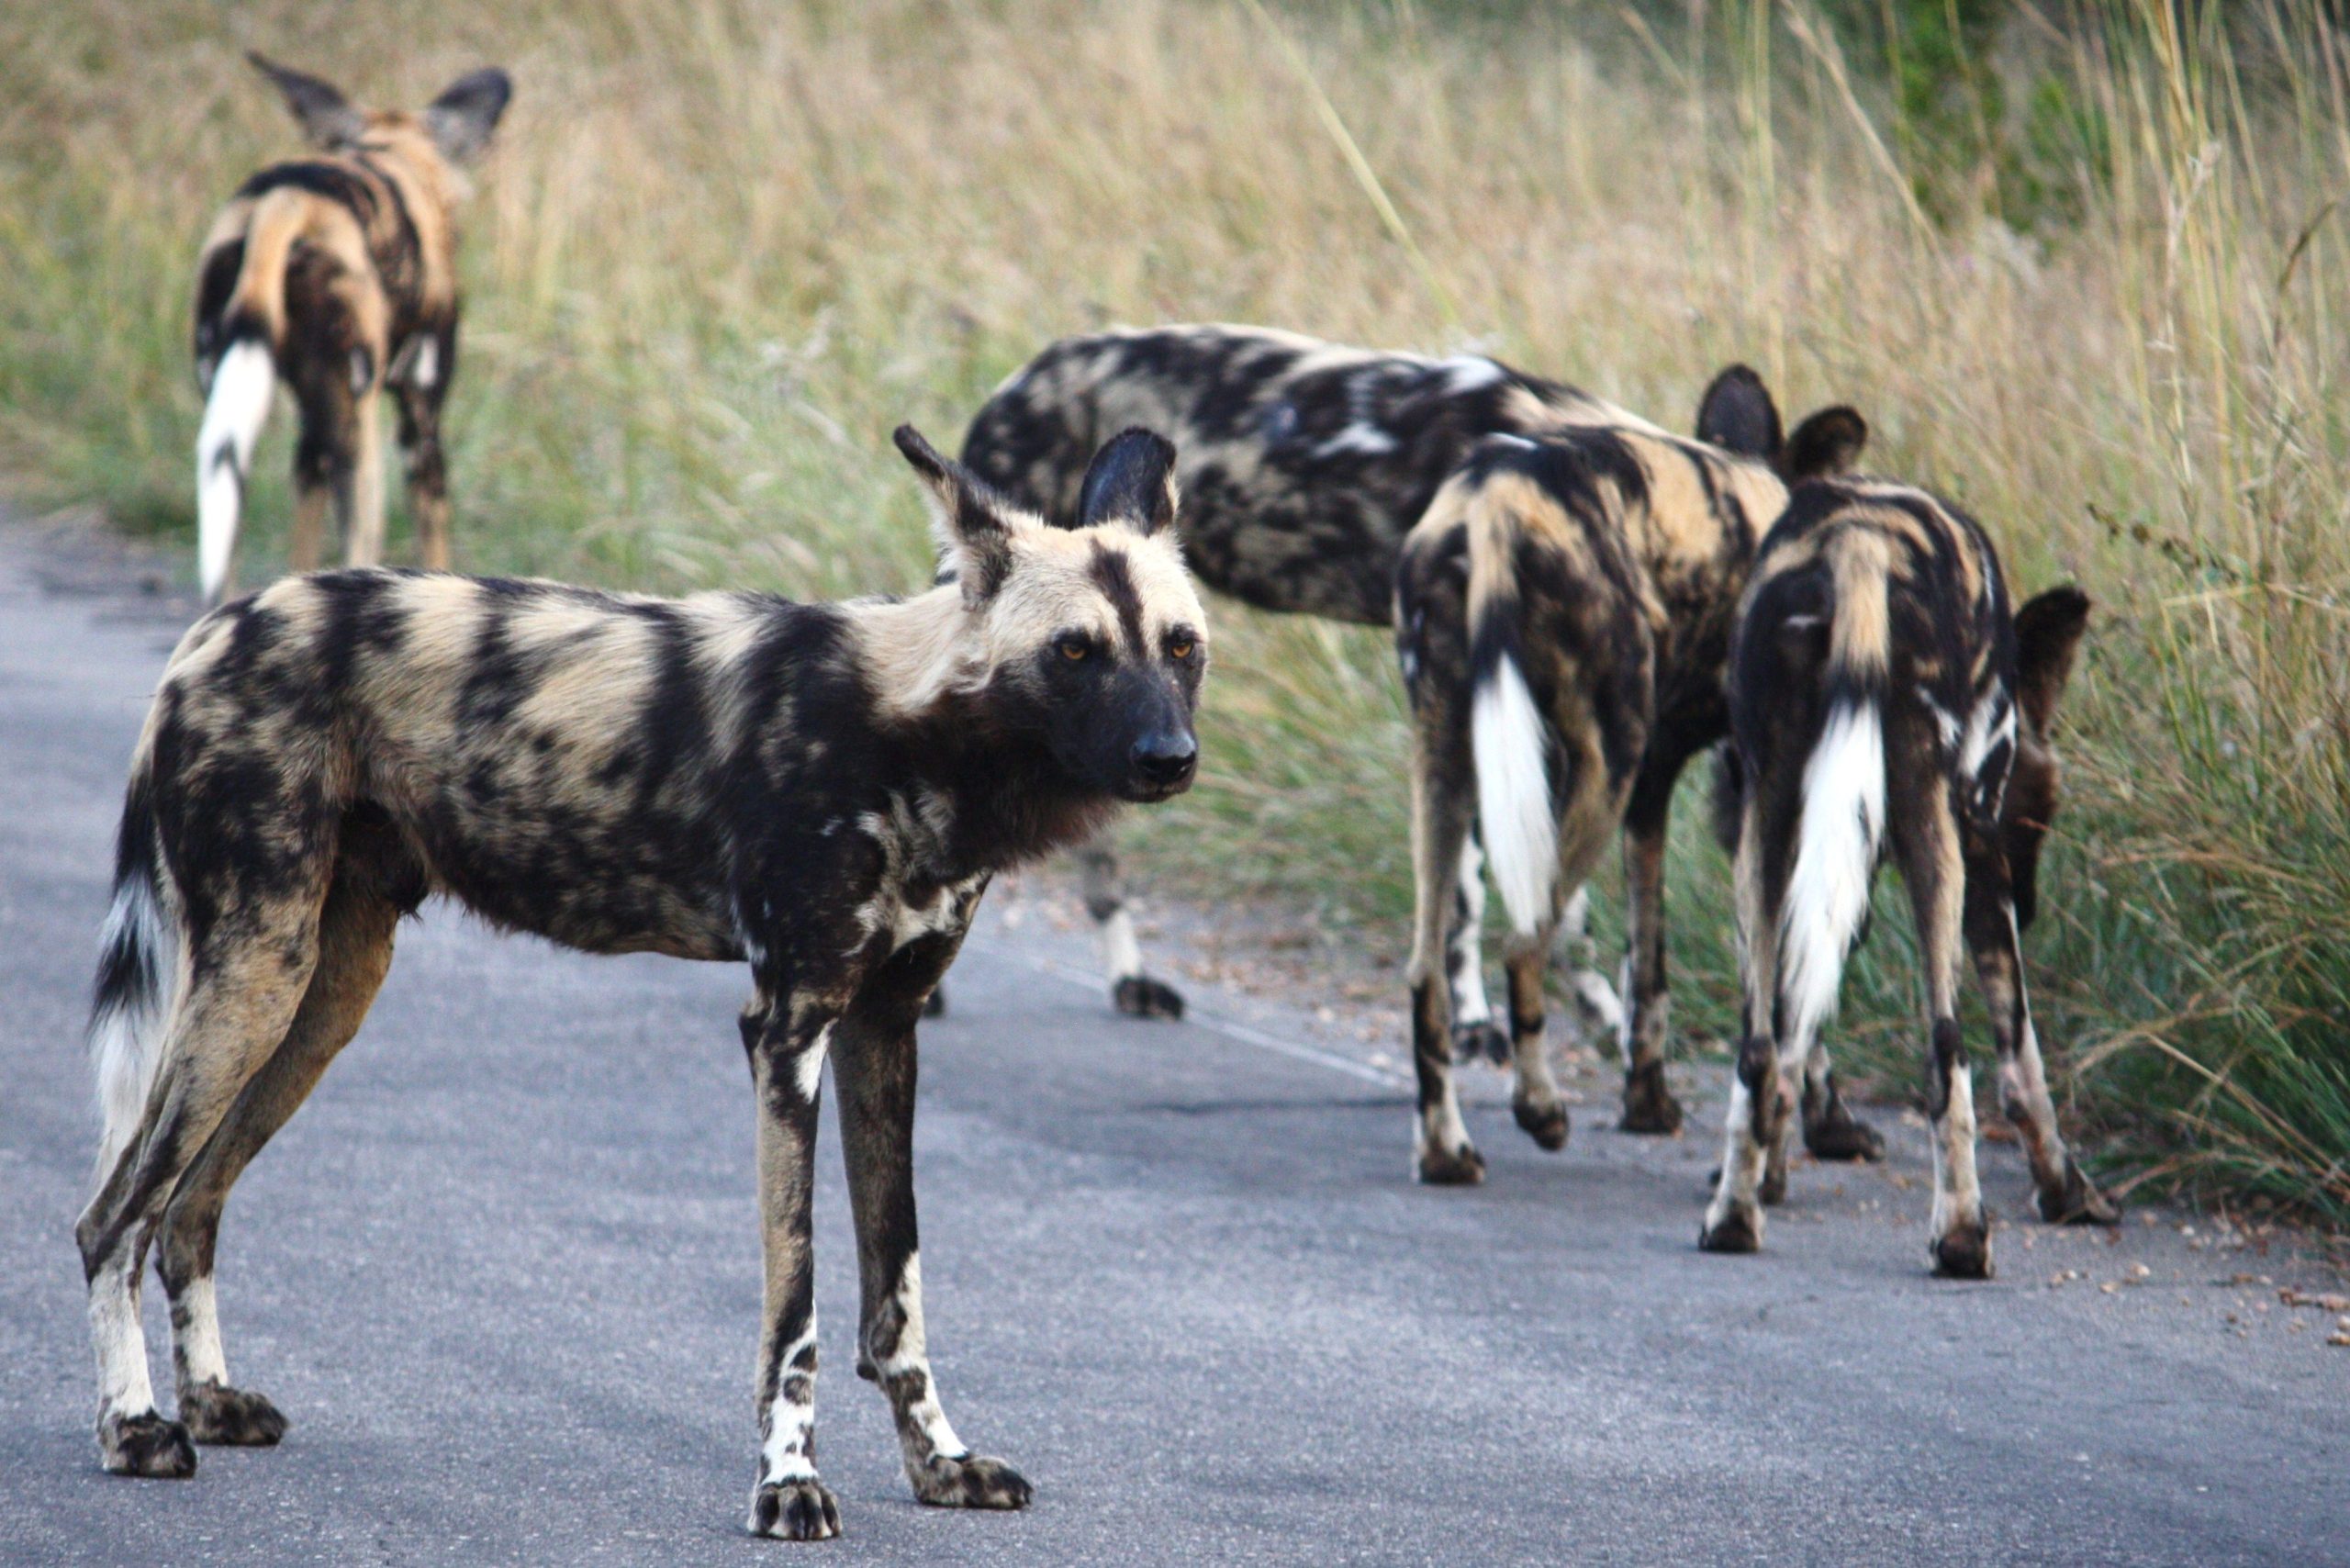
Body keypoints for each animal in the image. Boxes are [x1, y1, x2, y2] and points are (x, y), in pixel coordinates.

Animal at [73, 422, 1212, 1541]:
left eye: (1181, 645)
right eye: (1075, 651)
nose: (1171, 756)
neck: (913, 732)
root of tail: (219, 627)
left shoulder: (883, 1027)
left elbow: (897, 1292)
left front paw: (941, 1462)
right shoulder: (788, 1027)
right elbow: (794, 1303)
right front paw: (788, 1482)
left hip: (321, 994)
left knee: (190, 1206)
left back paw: (210, 1404)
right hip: (254, 978)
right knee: (114, 1218)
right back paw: (135, 1429)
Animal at [191, 53, 509, 606]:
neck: (393, 150)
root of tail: (286, 199)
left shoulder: (310, 435)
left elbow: (302, 544)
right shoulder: (421, 417)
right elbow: (435, 540)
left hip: (231, 417)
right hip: (361, 439)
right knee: (361, 545)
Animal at [954, 324, 1635, 1086]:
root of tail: (1027, 374)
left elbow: (1557, 897)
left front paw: (1607, 1020)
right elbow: (1465, 894)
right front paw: (1475, 1024)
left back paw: (1127, 979)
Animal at [1382, 364, 1861, 1175]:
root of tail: (1494, 496)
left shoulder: (1653, 793)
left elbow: (1649, 969)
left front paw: (1649, 1102)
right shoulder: (1752, 795)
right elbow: (1791, 991)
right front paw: (1824, 1123)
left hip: (1450, 761)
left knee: (1425, 975)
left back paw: (1446, 1151)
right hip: (1606, 758)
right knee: (1524, 943)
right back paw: (1540, 1110)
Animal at [1701, 479, 2124, 1279]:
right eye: (2041, 817)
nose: (2033, 903)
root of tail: (1860, 542)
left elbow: (1793, 1028)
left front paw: (1771, 1171)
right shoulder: (1984, 856)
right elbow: (2022, 1066)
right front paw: (2064, 1190)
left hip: (1767, 832)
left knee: (1758, 1048)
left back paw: (1733, 1218)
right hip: (1942, 839)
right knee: (1946, 1048)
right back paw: (1962, 1234)